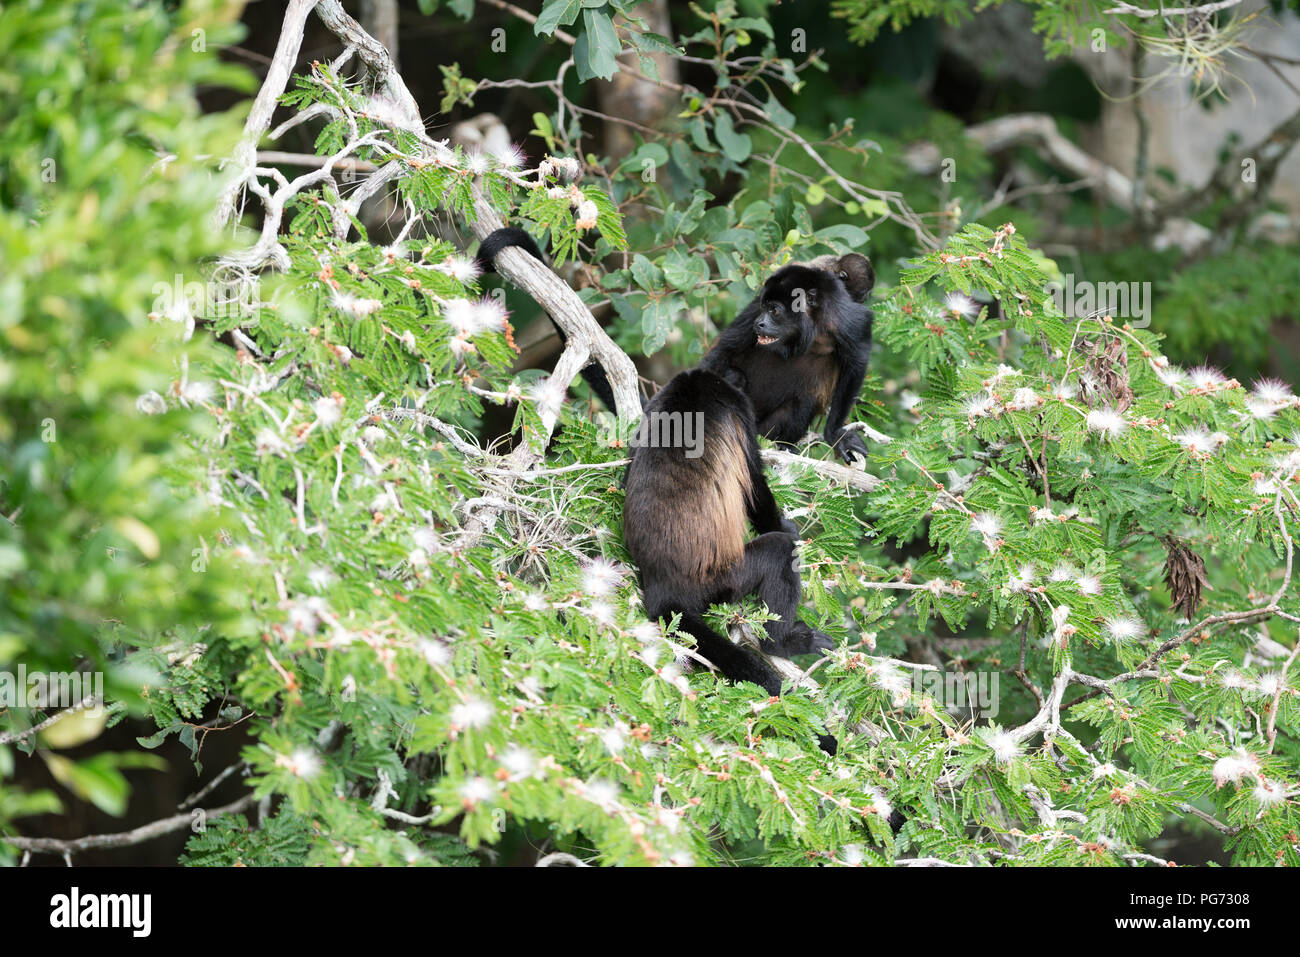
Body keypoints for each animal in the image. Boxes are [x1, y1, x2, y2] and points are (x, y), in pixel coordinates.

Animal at [622, 366, 838, 755]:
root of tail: (663, 588)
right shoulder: (738, 408)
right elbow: (755, 482)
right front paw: (783, 524)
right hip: (724, 579)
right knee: (779, 552)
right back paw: (781, 643)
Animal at [700, 253, 875, 465]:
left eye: (774, 311)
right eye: (766, 307)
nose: (759, 323)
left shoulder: (849, 320)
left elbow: (855, 365)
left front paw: (835, 435)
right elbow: (726, 347)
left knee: (803, 401)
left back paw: (783, 445)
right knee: (734, 377)